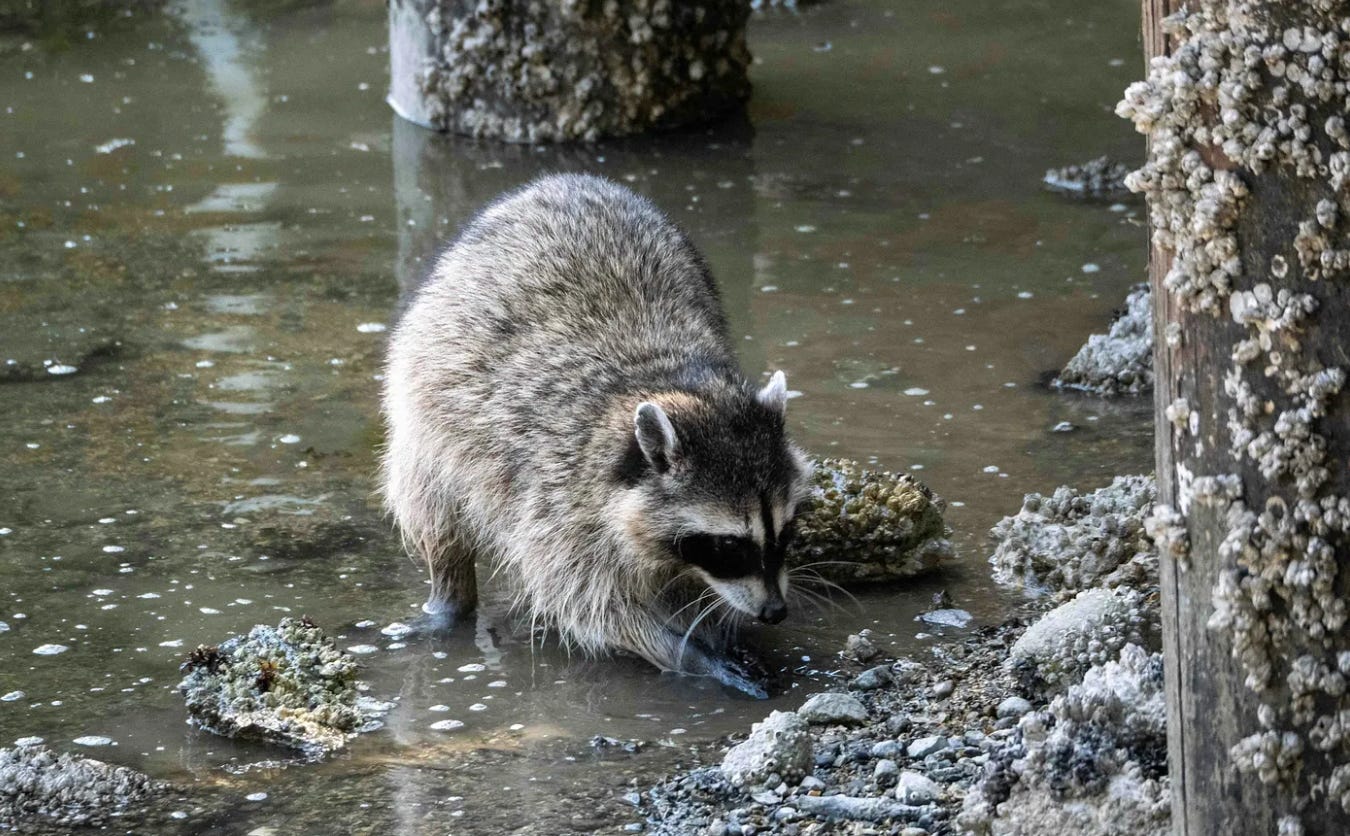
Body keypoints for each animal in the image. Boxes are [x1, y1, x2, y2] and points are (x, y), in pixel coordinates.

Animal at [380, 174, 812, 692]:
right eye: (729, 545)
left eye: (785, 529)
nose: (775, 612)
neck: (671, 384)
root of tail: (562, 181)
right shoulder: (555, 505)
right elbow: (594, 606)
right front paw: (688, 653)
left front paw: (717, 627)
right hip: (424, 413)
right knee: (432, 508)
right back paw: (449, 595)